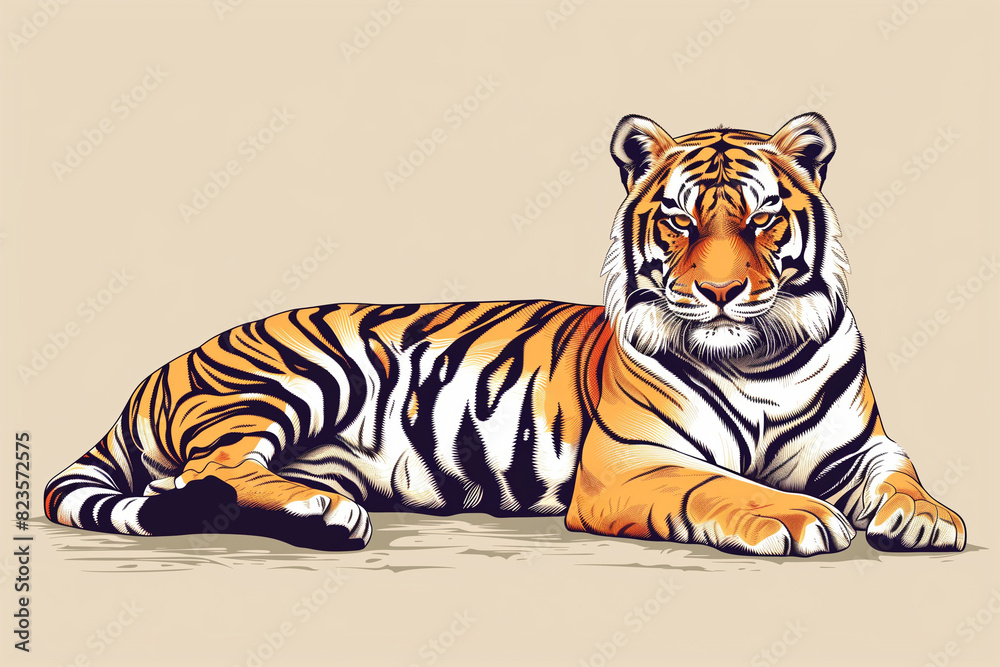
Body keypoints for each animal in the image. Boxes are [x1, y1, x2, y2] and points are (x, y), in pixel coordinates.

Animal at [44, 112, 966, 557]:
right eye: (679, 221)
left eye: (763, 217)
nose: (720, 293)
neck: (759, 358)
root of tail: (158, 370)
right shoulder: (632, 464)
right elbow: (720, 486)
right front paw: (799, 516)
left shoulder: (863, 446)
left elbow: (902, 473)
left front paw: (928, 518)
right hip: (295, 375)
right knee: (215, 472)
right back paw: (323, 510)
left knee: (209, 488)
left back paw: (325, 514)